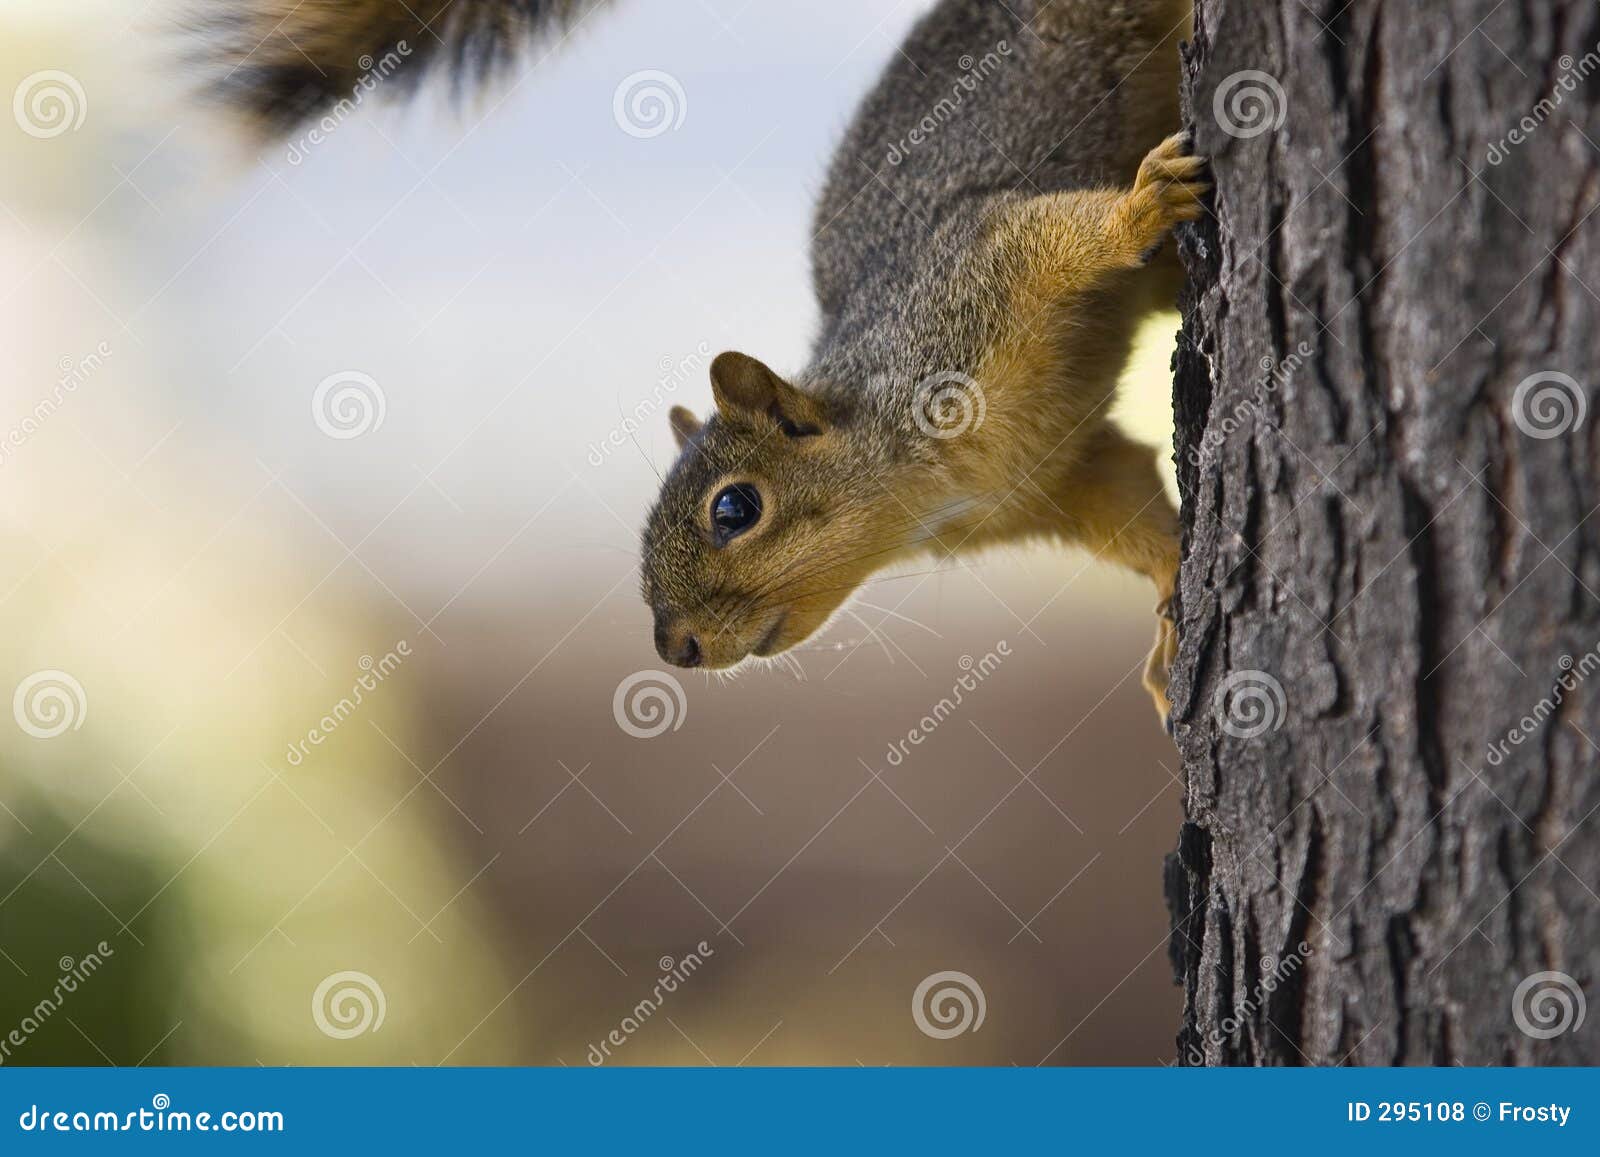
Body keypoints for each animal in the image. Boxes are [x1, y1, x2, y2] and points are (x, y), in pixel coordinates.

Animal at [205, 0, 1203, 730]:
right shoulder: (1054, 477)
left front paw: (1144, 205)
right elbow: (1131, 506)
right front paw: (1169, 613)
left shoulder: (973, 278)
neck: (924, 487)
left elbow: (1057, 234)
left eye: (734, 509)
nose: (675, 649)